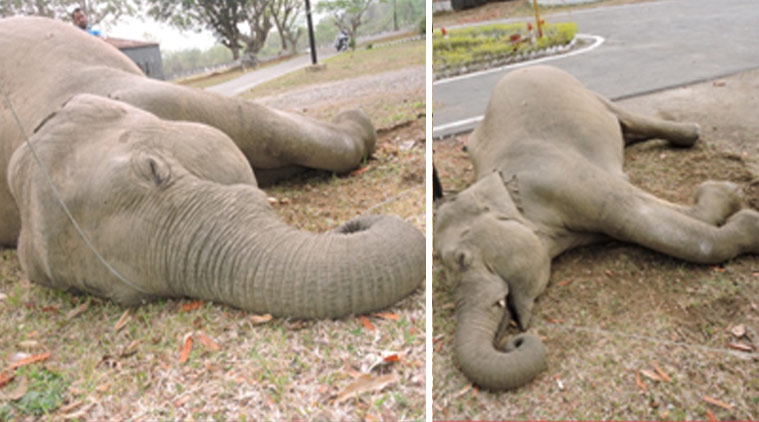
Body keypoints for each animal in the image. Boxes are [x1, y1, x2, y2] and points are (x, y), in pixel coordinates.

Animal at [433, 65, 759, 391]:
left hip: (587, 92)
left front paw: (738, 207)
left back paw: (691, 133)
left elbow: (639, 217)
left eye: (462, 260)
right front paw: (729, 199)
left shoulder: (561, 177)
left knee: (624, 115)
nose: (515, 341)